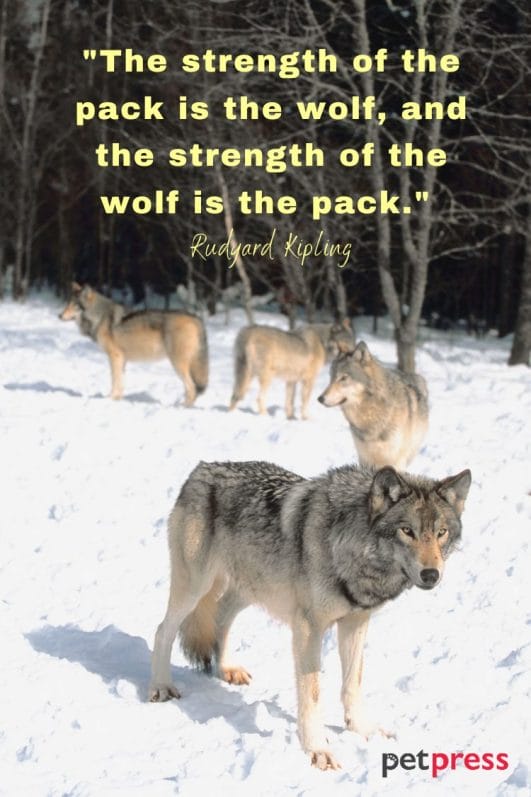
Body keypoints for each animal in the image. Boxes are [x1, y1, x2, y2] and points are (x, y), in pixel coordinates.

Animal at [59, 283, 208, 405]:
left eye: (74, 305)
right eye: (67, 303)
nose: (59, 316)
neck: (100, 316)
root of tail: (196, 318)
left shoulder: (115, 357)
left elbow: (115, 381)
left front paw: (110, 399)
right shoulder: (122, 360)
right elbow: (121, 383)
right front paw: (117, 399)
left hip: (178, 364)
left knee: (192, 388)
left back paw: (182, 407)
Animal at [150, 459, 471, 770]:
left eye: (441, 533)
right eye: (407, 531)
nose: (431, 574)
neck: (351, 549)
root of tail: (201, 469)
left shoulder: (355, 623)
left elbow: (352, 684)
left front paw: (363, 730)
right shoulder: (308, 628)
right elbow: (313, 695)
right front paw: (317, 750)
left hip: (249, 588)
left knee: (221, 614)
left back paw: (226, 668)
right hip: (195, 588)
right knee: (163, 629)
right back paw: (162, 686)